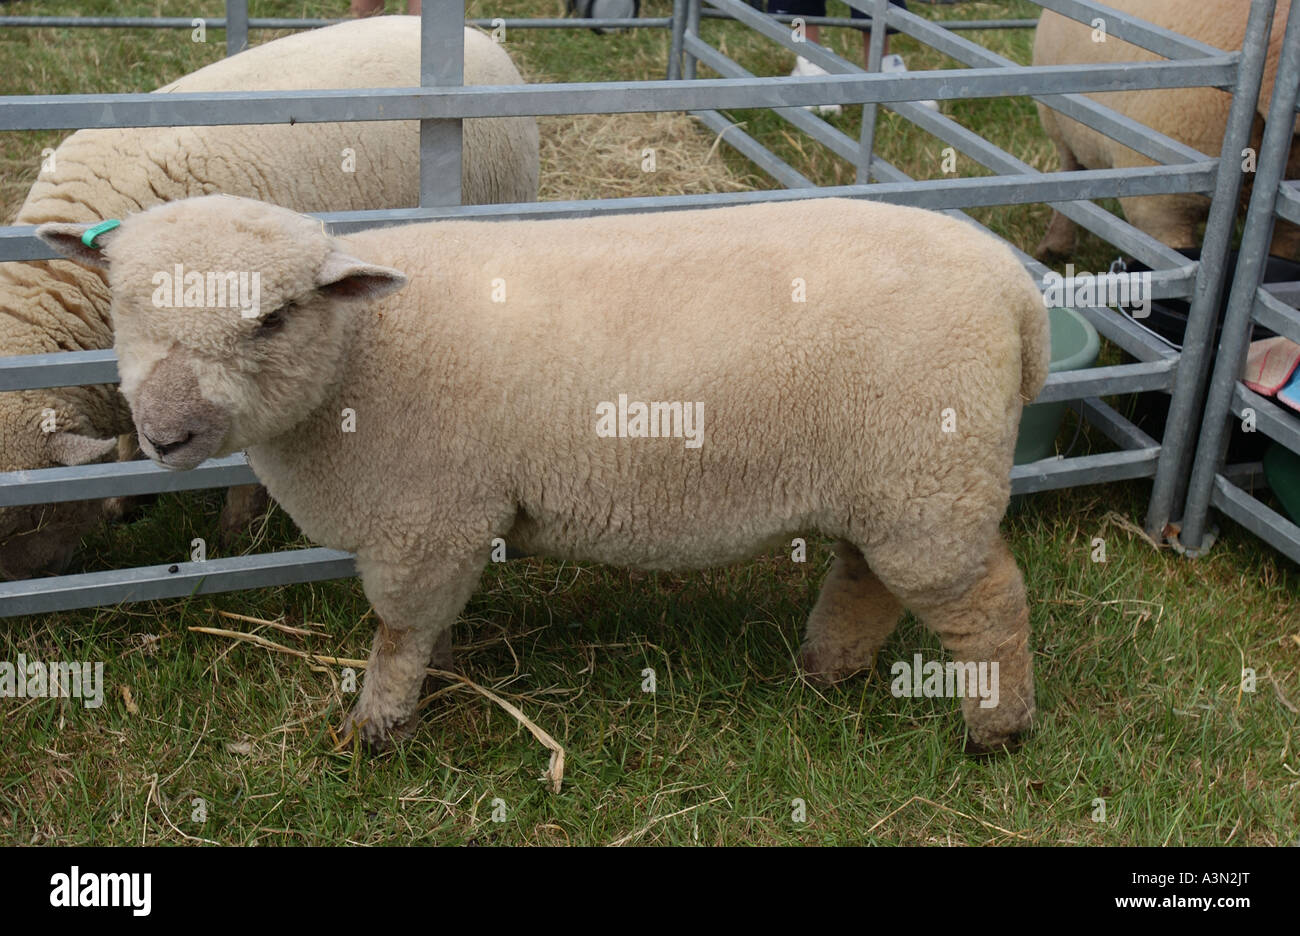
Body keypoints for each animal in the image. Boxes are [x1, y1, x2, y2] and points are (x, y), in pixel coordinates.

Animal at [38, 192, 1049, 755]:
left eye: (275, 318)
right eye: (122, 302)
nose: (164, 434)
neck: (364, 356)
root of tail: (1014, 289)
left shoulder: (425, 519)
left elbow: (397, 632)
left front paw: (378, 727)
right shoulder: (443, 528)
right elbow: (428, 627)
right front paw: (433, 680)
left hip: (932, 477)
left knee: (991, 603)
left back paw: (996, 733)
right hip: (896, 484)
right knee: (866, 577)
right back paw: (825, 672)